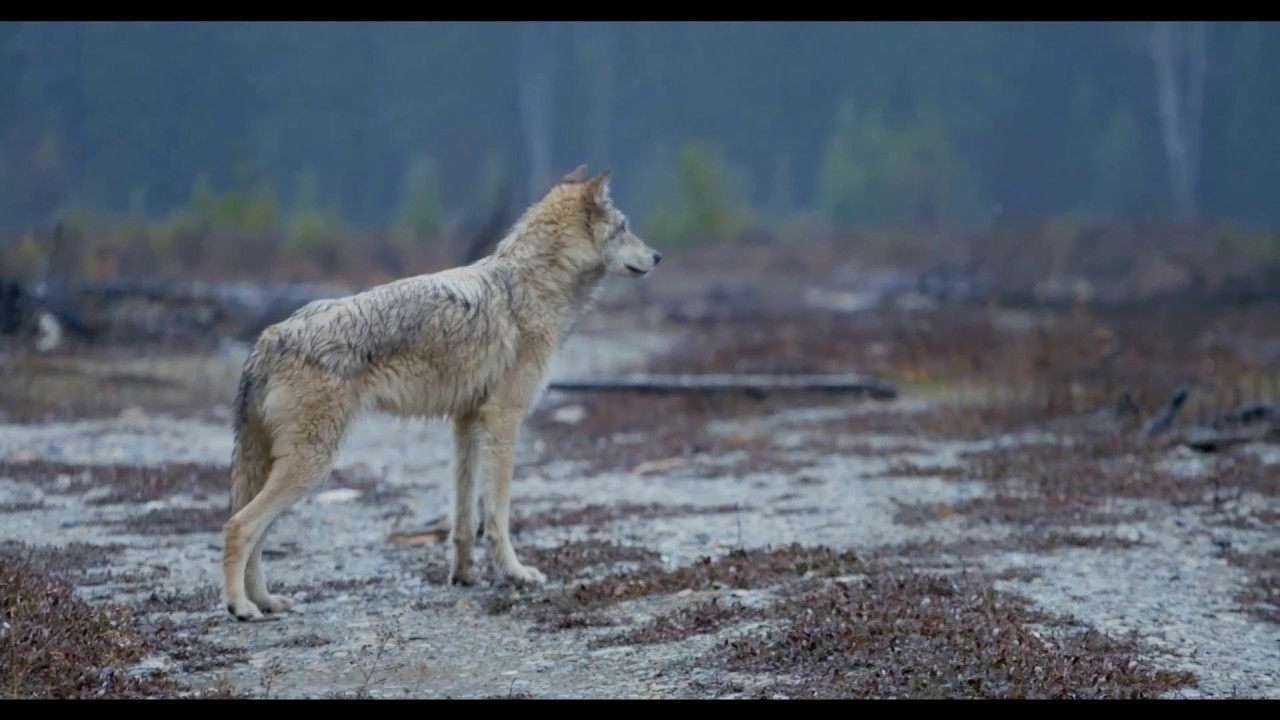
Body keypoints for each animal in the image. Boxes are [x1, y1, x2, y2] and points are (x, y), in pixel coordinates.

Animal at [221, 165, 661, 621]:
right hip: (311, 464)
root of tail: (270, 337)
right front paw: (515, 573)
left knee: (252, 532)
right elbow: (498, 512)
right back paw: (240, 607)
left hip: (282, 465)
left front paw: (464, 575)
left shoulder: (465, 421)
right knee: (238, 526)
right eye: (624, 227)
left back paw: (265, 601)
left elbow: (464, 518)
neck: (533, 283)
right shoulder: (504, 418)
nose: (658, 256)